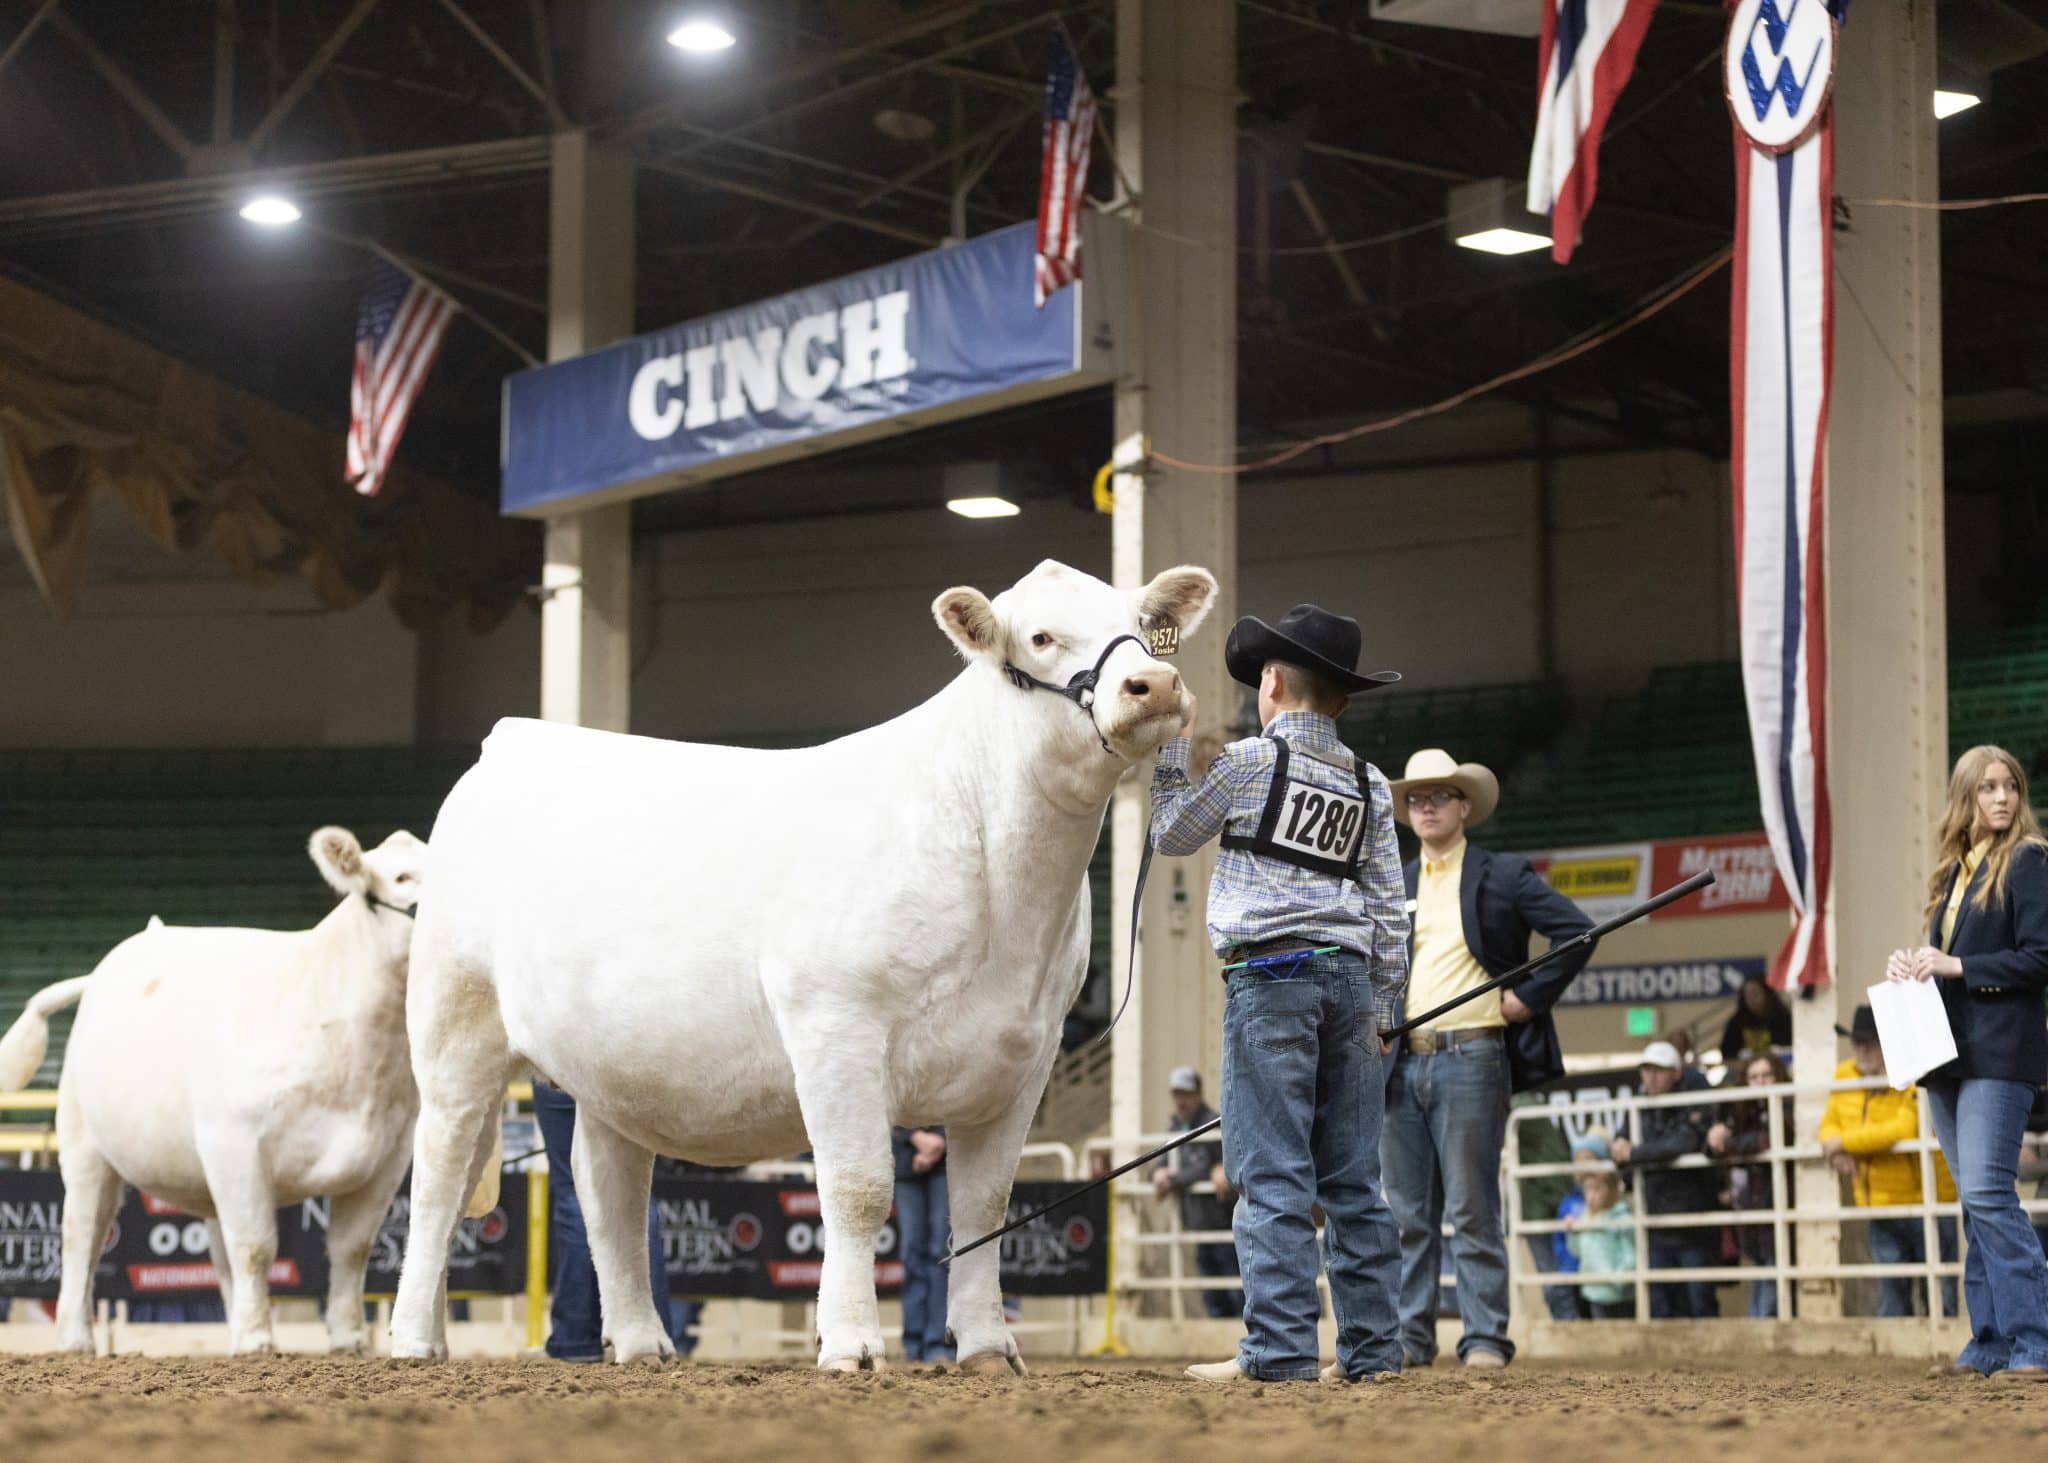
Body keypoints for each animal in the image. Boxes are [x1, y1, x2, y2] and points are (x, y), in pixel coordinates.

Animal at [0, 827, 452, 1355]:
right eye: (402, 877)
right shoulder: (236, 1145)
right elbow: (255, 1246)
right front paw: (258, 1339)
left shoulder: (387, 1157)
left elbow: (351, 1249)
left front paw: (349, 1339)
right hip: (85, 1144)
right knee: (82, 1234)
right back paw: (76, 1338)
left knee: (217, 1251)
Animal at [388, 558, 1218, 1371]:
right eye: (1041, 635)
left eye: (1144, 626)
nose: (1154, 684)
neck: (1006, 898)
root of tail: (514, 739)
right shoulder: (836, 1027)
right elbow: (857, 1189)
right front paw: (850, 1342)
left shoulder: (1024, 1055)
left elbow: (984, 1204)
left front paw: (986, 1347)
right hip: (456, 1028)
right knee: (437, 1177)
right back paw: (414, 1338)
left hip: (605, 1067)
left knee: (606, 1189)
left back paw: (640, 1341)